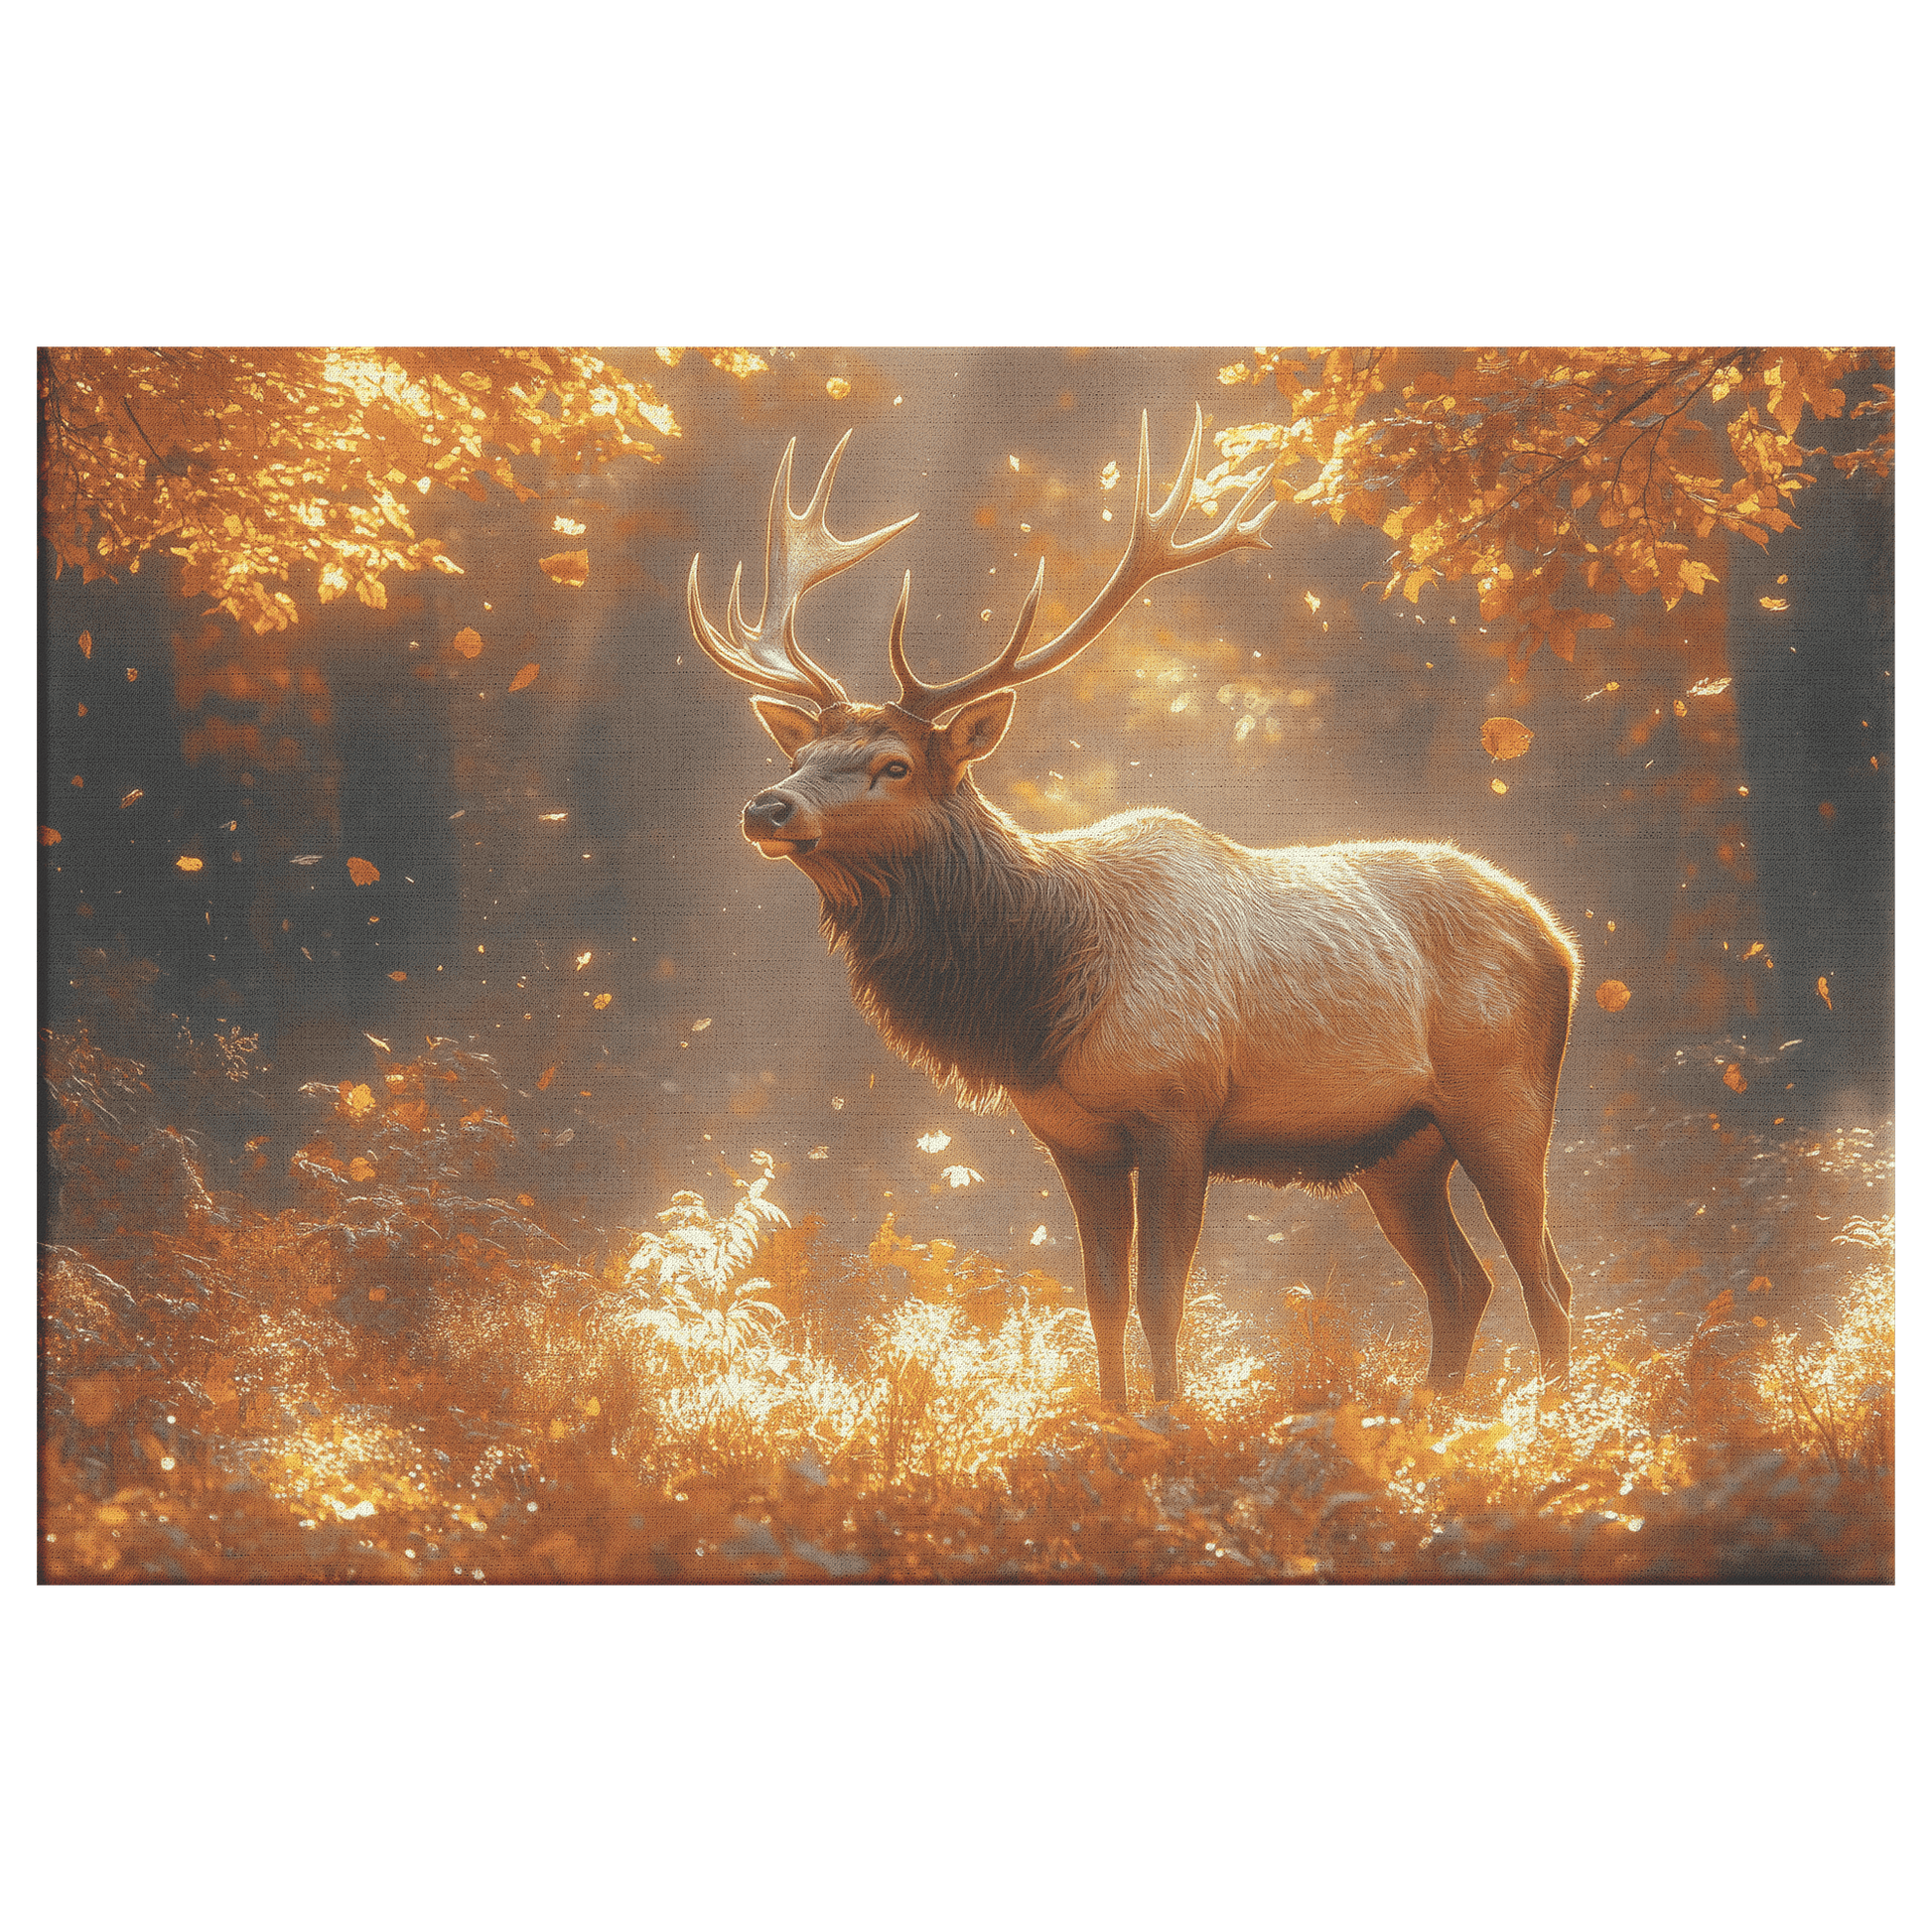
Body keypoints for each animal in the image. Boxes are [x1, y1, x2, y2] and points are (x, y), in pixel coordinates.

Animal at [686, 410, 1579, 1408]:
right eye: (803, 756)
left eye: (895, 764)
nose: (768, 807)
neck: (1037, 997)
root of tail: (1561, 940)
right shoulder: (1073, 1138)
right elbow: (1103, 1295)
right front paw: (1112, 1418)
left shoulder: (1178, 1108)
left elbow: (1162, 1293)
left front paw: (1168, 1419)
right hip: (1396, 1145)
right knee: (1464, 1281)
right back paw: (1437, 1413)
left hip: (1504, 1099)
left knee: (1547, 1280)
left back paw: (1549, 1420)